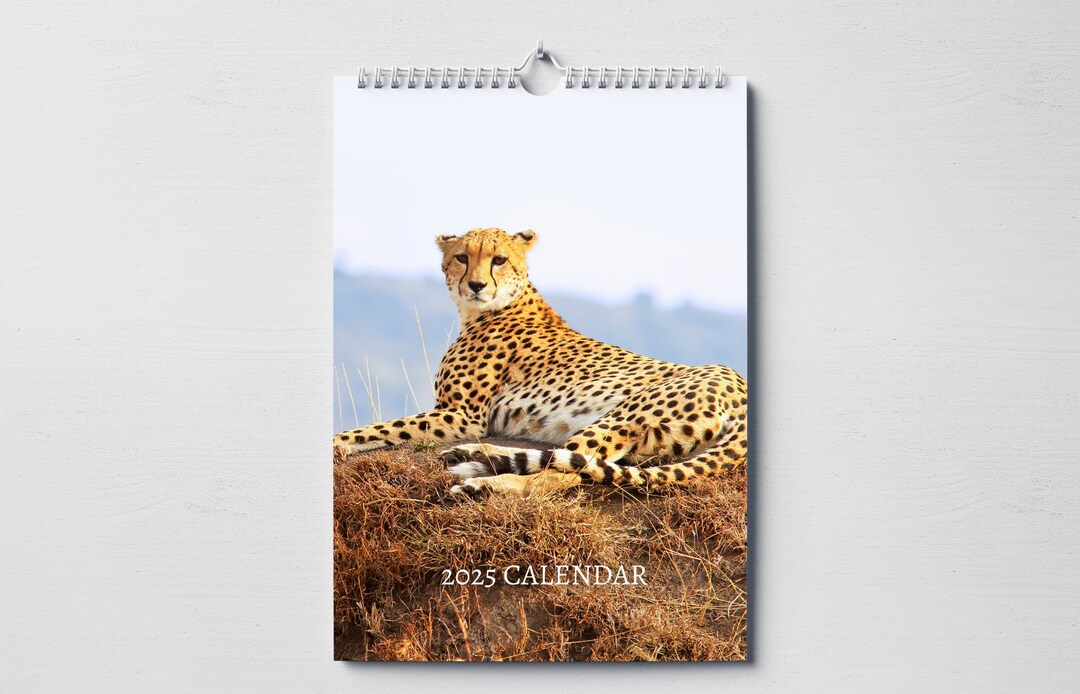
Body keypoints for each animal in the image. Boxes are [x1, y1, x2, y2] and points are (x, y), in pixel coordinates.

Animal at [334, 227, 748, 497]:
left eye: (499, 260)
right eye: (462, 258)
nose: (476, 285)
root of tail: (738, 383)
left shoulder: (461, 415)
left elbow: (377, 429)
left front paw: (338, 443)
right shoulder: (459, 415)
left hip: (623, 415)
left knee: (565, 472)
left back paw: (483, 482)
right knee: (572, 462)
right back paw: (474, 456)